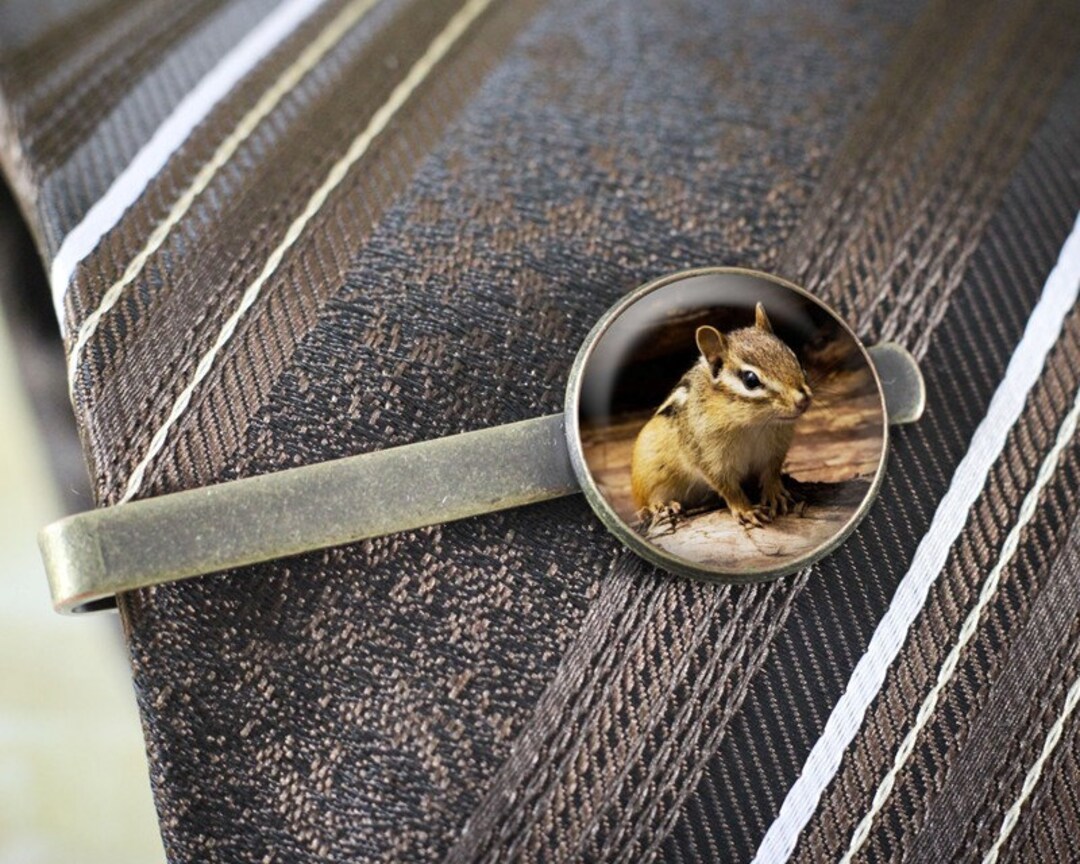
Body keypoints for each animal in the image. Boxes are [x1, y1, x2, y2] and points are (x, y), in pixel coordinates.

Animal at [630, 303, 812, 530]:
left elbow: (772, 471)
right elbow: (727, 487)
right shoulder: (708, 456)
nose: (803, 400)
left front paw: (775, 492)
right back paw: (661, 506)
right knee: (649, 499)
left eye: (794, 359)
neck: (754, 425)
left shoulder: (776, 448)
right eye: (750, 380)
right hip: (649, 468)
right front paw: (745, 510)